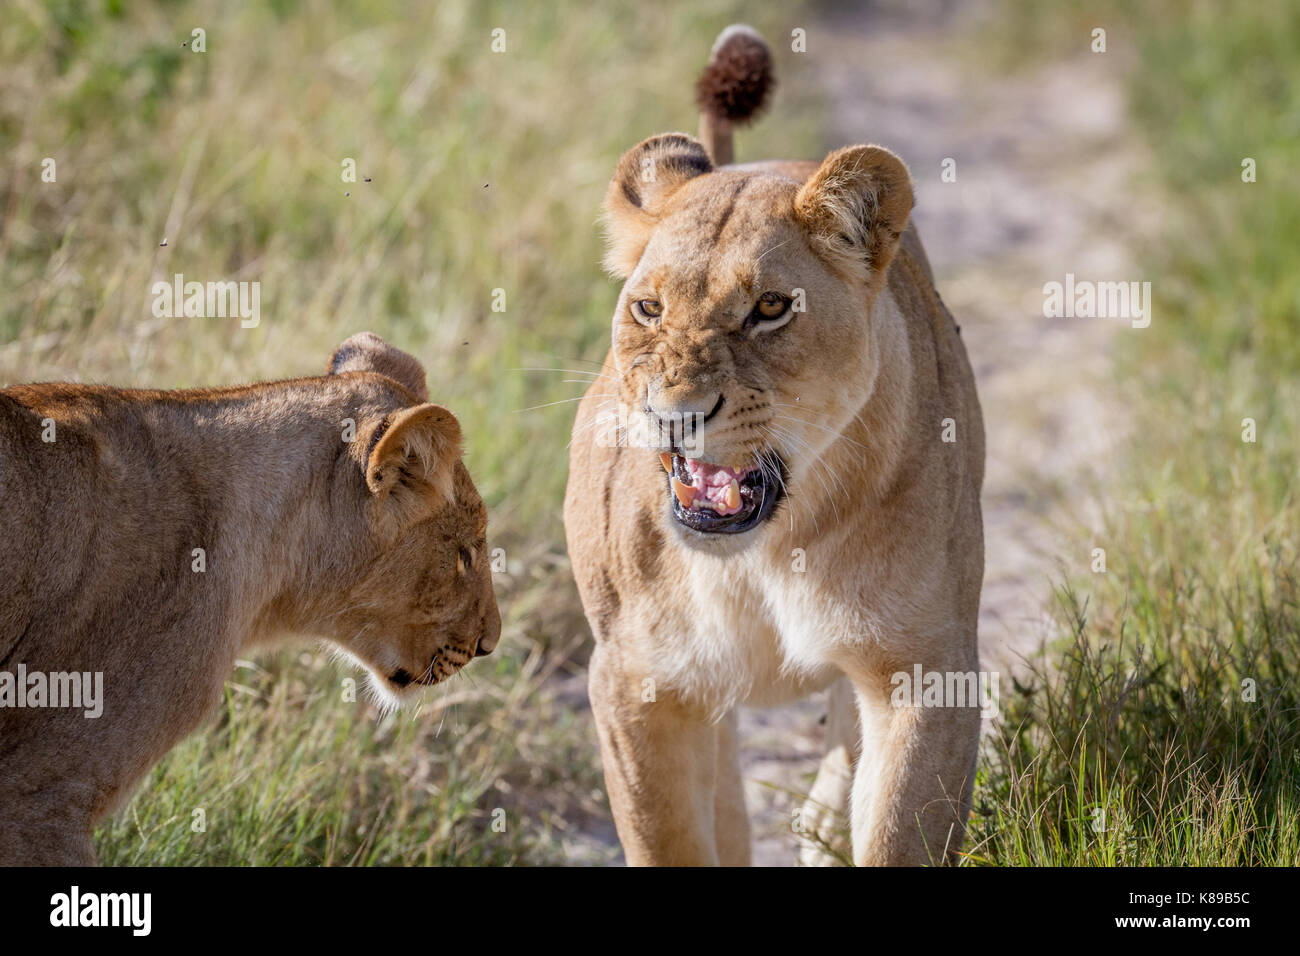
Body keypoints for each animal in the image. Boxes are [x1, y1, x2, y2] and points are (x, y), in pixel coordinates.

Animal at [564, 25, 985, 866]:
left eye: (769, 309)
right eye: (648, 309)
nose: (674, 414)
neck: (761, 555)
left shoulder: (927, 669)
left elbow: (899, 830)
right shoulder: (634, 679)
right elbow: (671, 840)